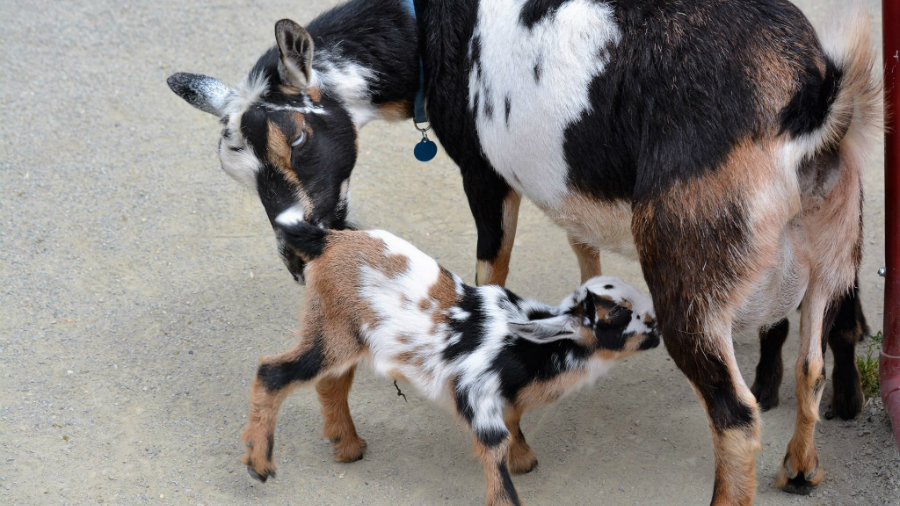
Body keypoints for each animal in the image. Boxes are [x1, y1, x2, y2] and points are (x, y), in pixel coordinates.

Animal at [240, 211, 660, 506]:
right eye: (617, 313)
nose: (657, 326)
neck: (527, 343)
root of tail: (328, 239)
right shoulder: (475, 391)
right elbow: (494, 446)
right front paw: (510, 489)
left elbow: (513, 424)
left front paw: (524, 458)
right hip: (333, 331)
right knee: (274, 372)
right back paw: (260, 465)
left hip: (342, 334)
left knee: (331, 381)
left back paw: (347, 446)